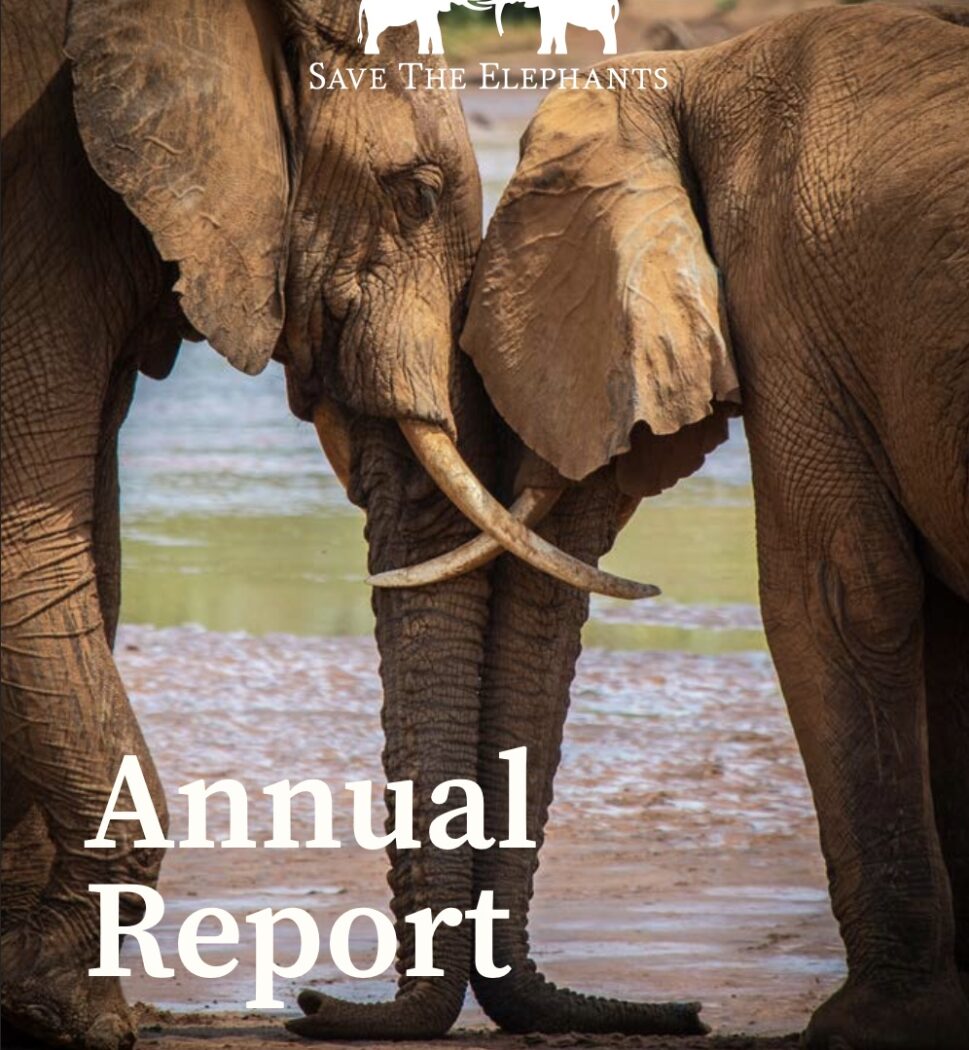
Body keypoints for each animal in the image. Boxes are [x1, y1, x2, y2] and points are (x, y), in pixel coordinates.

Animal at [2, 0, 665, 1046]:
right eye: (418, 194)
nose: (311, 1002)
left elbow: (86, 551)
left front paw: (53, 1002)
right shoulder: (35, 202)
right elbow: (31, 553)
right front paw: (69, 1013)